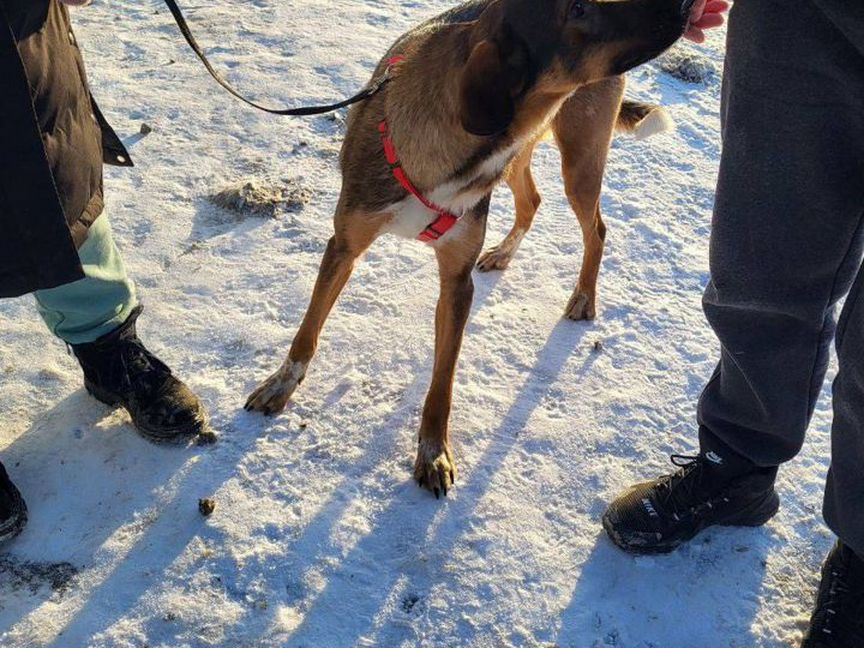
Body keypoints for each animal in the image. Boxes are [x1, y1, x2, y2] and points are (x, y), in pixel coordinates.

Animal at [243, 0, 696, 496]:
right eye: (576, 9)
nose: (684, 6)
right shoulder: (344, 246)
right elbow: (308, 330)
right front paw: (281, 385)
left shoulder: (456, 282)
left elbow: (443, 381)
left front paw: (433, 452)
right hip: (523, 162)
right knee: (534, 202)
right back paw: (504, 254)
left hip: (580, 161)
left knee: (596, 228)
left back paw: (583, 297)